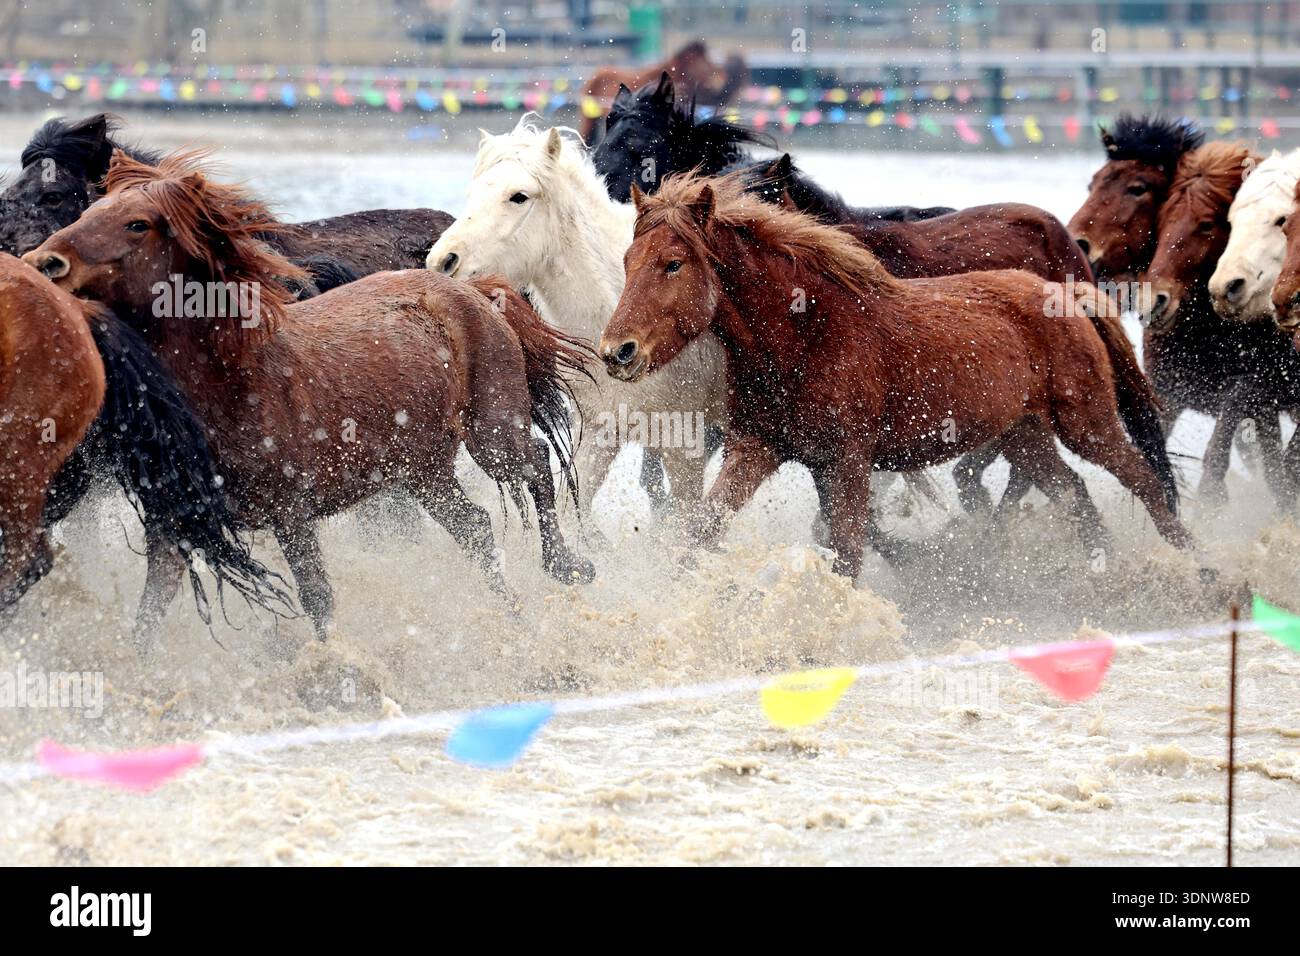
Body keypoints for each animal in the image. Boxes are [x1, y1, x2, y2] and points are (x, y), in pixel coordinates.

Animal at [26, 149, 594, 643]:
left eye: (137, 224)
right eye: (89, 209)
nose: (44, 263)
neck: (233, 381)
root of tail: (474, 290)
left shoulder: (291, 514)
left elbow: (318, 598)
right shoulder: (176, 527)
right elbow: (147, 617)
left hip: (492, 430)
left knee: (534, 465)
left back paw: (569, 566)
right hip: (421, 468)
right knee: (474, 528)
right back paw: (513, 618)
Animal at [427, 117, 729, 517]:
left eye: (519, 196)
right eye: (472, 194)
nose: (443, 262)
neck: (617, 301)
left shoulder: (684, 440)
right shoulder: (601, 430)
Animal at [597, 174, 1190, 579]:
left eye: (673, 263)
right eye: (627, 260)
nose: (617, 352)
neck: (808, 333)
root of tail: (1068, 295)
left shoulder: (849, 463)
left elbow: (848, 553)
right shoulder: (759, 449)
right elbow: (704, 531)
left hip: (1086, 423)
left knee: (1144, 480)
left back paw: (1193, 566)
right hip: (1023, 436)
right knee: (1073, 494)